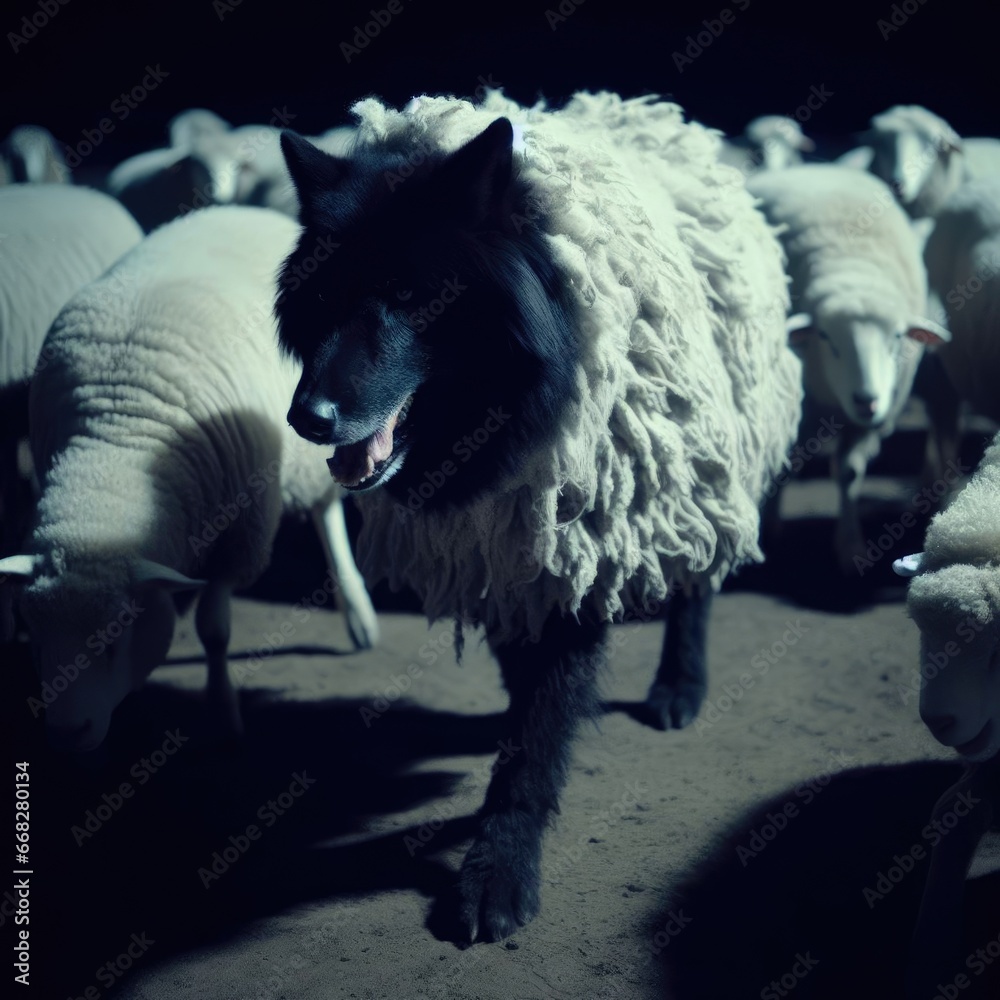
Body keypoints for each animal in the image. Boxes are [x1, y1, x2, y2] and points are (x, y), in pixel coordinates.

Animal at [276, 89, 803, 940]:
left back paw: (679, 686)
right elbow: (521, 683)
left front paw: (499, 869)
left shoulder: (574, 546)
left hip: (706, 461)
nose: (308, 418)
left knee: (700, 580)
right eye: (323, 297)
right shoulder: (504, 548)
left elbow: (536, 734)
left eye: (412, 295)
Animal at [746, 164, 950, 575]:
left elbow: (850, 473)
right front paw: (770, 529)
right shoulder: (798, 411)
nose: (866, 400)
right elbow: (785, 466)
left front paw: (850, 545)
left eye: (898, 337)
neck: (853, 265)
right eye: (825, 337)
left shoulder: (865, 424)